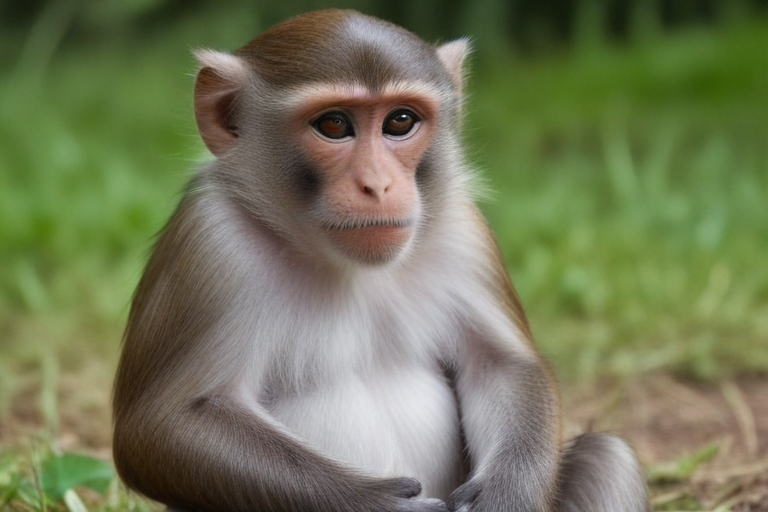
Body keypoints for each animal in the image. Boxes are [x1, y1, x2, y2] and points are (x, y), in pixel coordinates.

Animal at [113, 9, 650, 512]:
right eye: (333, 124)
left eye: (400, 121)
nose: (379, 184)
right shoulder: (212, 242)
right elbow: (164, 427)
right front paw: (378, 503)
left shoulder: (463, 231)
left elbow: (503, 365)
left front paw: (507, 496)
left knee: (609, 458)